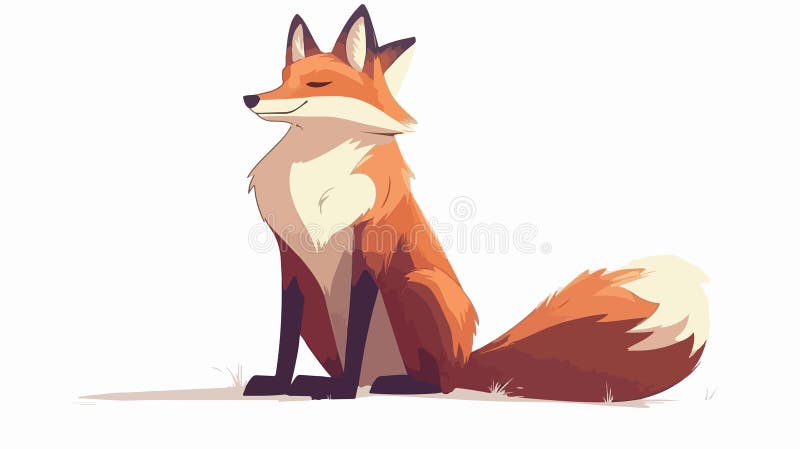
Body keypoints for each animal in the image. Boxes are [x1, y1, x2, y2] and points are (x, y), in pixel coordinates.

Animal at [241, 5, 709, 402]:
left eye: (317, 84)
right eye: (281, 77)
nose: (251, 98)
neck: (315, 175)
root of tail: (467, 358)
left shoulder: (370, 250)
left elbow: (355, 336)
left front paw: (341, 392)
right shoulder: (292, 261)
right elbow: (284, 339)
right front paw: (279, 383)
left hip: (419, 286)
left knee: (438, 382)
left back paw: (393, 384)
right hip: (321, 316)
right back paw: (318, 381)